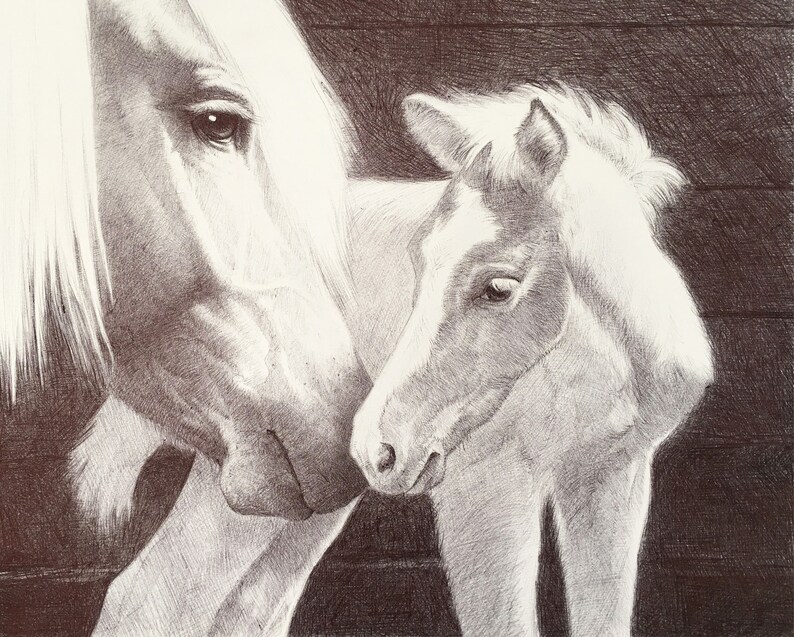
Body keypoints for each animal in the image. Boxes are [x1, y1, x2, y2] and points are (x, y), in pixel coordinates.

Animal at [85, 84, 712, 636]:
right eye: (419, 261)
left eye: (498, 288)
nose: (377, 448)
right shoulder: (486, 492)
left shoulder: (612, 478)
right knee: (149, 597)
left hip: (310, 497)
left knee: (251, 606)